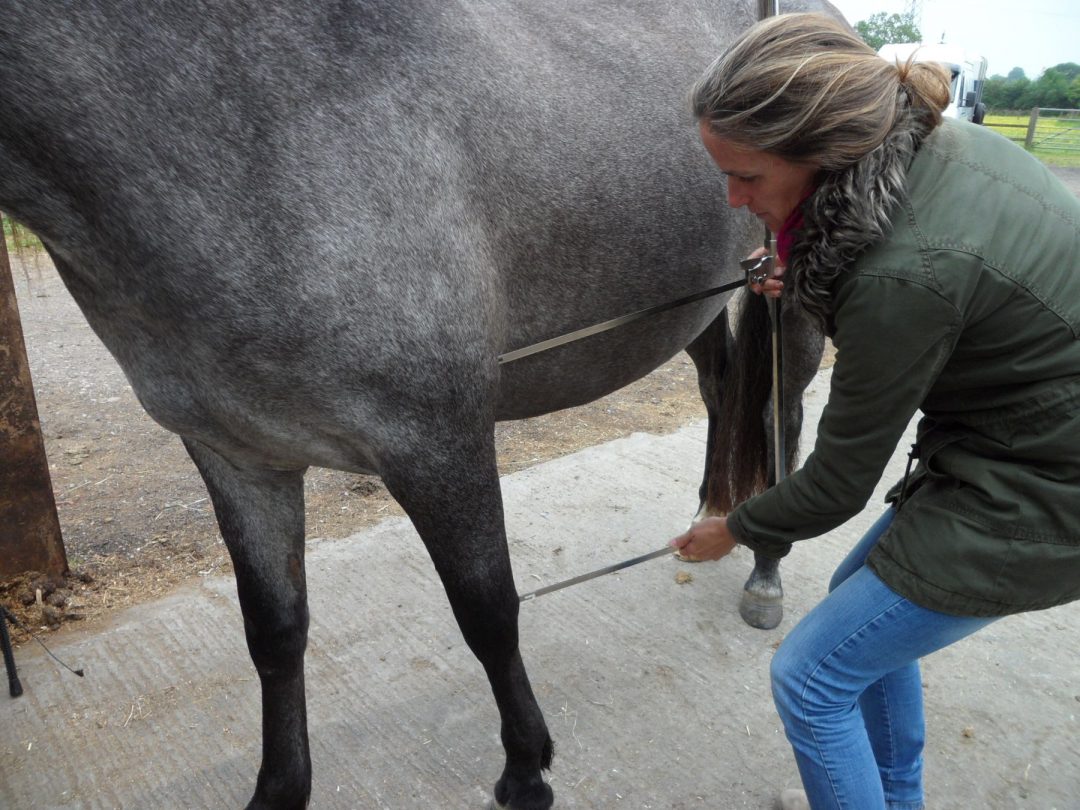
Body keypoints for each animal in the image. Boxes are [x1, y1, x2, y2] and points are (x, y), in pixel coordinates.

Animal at [0, 1, 832, 807]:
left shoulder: (436, 439)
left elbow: (488, 611)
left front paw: (526, 770)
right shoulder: (237, 455)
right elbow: (273, 632)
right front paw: (280, 787)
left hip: (791, 292)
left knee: (782, 415)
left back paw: (764, 567)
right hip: (698, 307)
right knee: (722, 390)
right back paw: (710, 516)